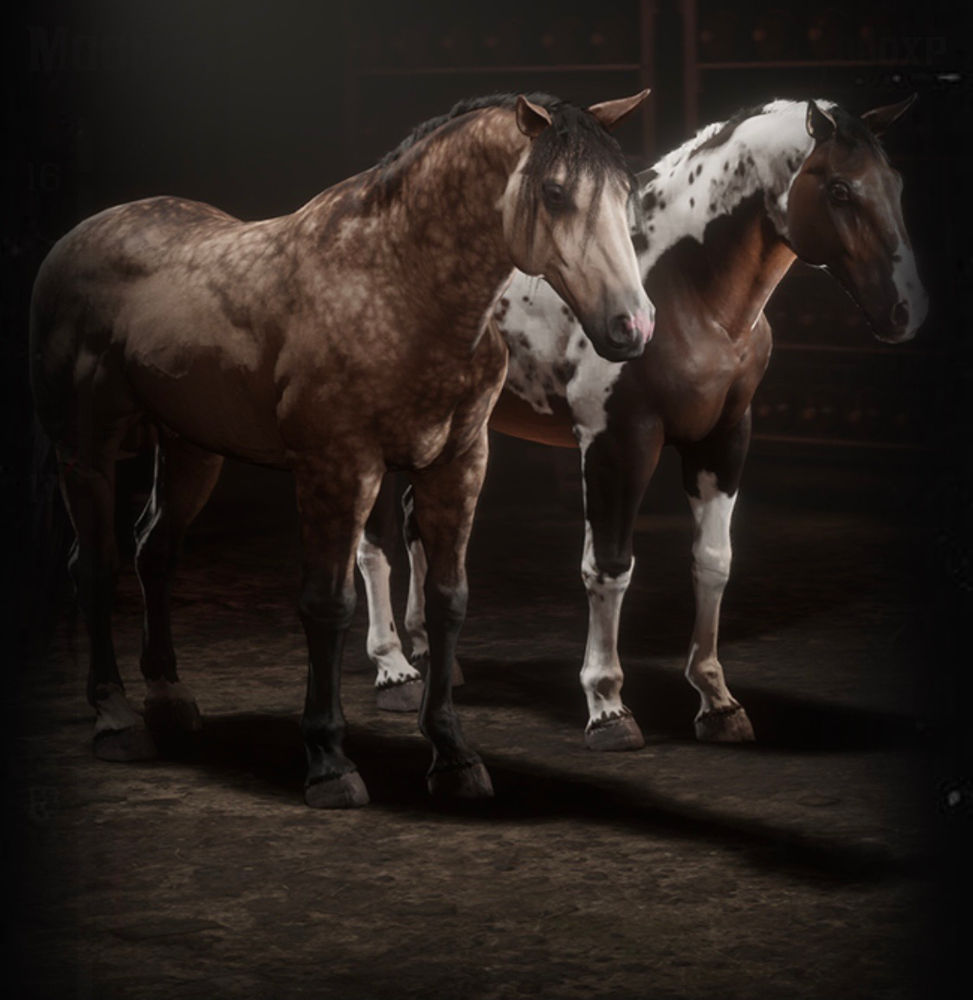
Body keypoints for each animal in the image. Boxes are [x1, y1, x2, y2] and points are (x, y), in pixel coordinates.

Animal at [29, 89, 656, 808]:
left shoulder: (458, 465)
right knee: (95, 566)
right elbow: (329, 604)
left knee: (154, 553)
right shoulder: (338, 469)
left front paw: (453, 756)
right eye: (553, 192)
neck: (397, 286)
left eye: (626, 192)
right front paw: (330, 762)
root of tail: (76, 236)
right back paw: (116, 719)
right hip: (84, 451)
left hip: (191, 450)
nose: (632, 326)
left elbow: (447, 600)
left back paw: (169, 698)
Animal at [357, 96, 927, 750]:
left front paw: (716, 700)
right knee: (375, 540)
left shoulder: (724, 438)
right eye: (838, 189)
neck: (685, 287)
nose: (906, 310)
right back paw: (393, 671)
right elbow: (608, 567)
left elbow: (713, 560)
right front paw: (608, 707)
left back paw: (430, 654)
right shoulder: (616, 443)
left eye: (896, 183)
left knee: (417, 528)